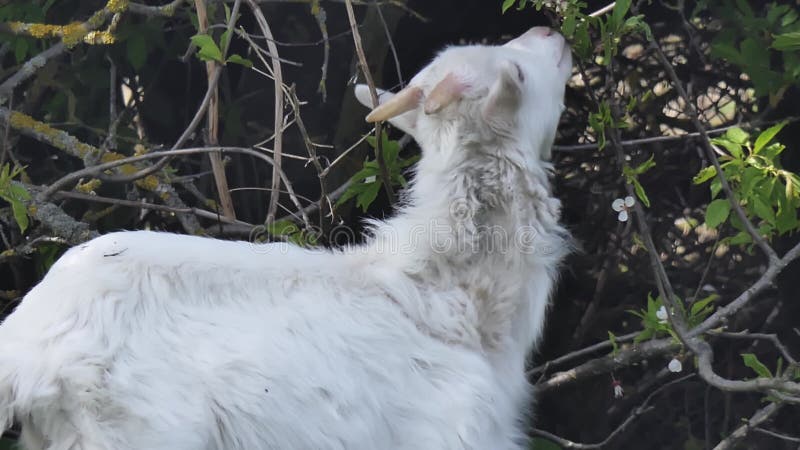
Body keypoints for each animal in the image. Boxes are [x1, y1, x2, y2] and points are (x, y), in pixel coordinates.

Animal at [0, 26, 572, 450]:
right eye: (517, 76)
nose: (550, 31)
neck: (455, 295)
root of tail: (25, 347)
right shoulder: (452, 432)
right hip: (134, 431)